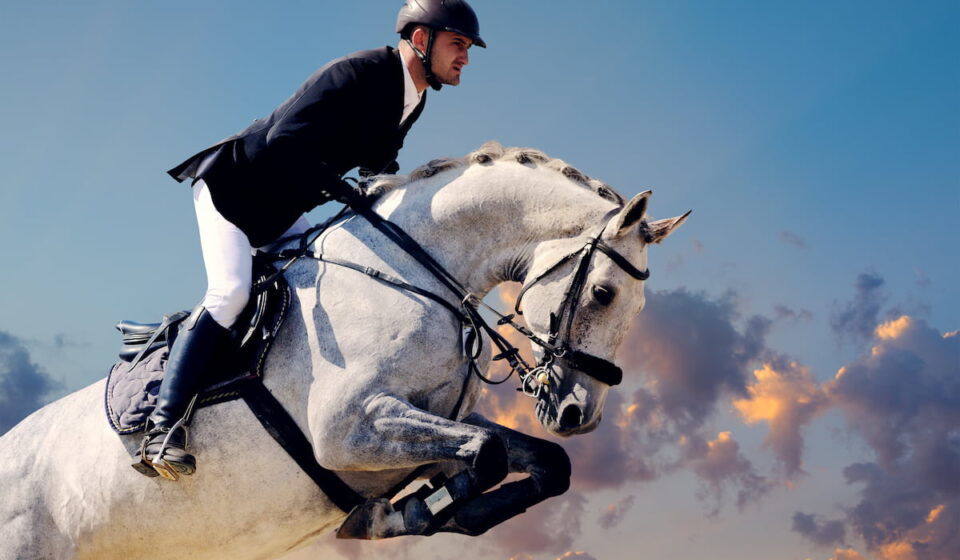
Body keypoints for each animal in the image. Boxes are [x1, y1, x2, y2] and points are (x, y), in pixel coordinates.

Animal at [0, 141, 688, 560]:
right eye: (601, 293)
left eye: (634, 309)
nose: (578, 414)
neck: (415, 271)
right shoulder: (348, 429)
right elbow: (488, 454)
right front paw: (399, 515)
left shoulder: (435, 417)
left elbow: (542, 463)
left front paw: (419, 511)